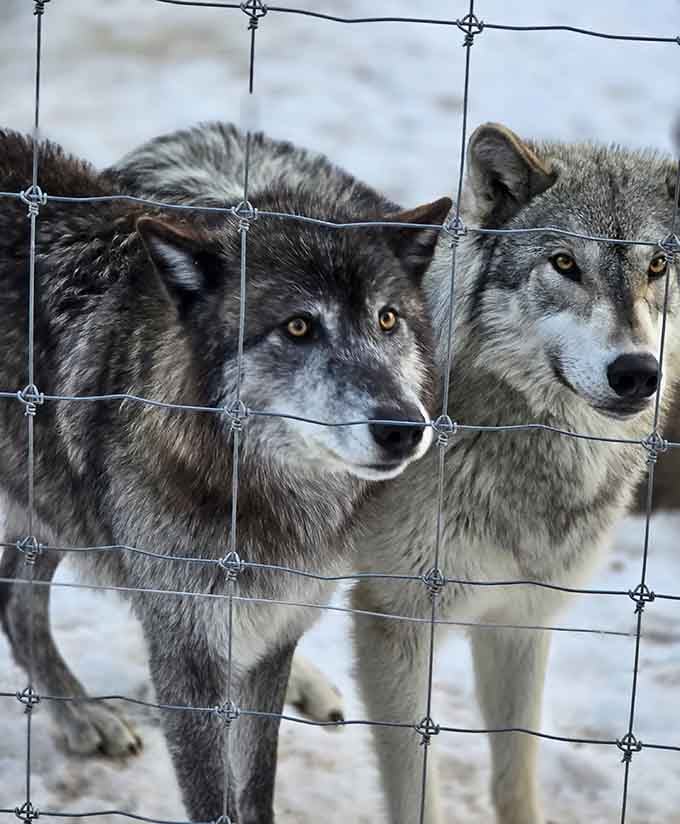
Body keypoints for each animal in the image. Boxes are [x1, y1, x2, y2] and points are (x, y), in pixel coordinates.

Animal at [0, 125, 451, 823]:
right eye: (298, 326)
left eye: (387, 318)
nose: (403, 428)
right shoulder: (187, 653)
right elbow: (215, 796)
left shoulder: (275, 630)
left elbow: (256, 782)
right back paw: (81, 716)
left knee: (16, 599)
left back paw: (78, 715)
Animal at [350, 122, 680, 824]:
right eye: (564, 264)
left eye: (657, 266)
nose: (637, 372)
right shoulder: (395, 620)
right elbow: (416, 791)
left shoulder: (522, 619)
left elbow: (516, 775)